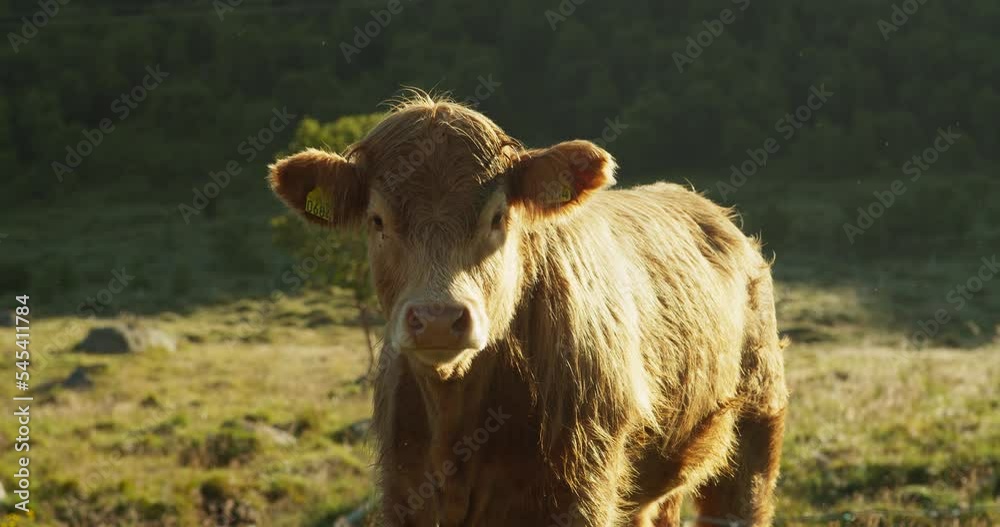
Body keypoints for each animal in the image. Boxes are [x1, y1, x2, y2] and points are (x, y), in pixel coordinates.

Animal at [269, 92, 788, 527]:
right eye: (377, 220)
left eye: (498, 217)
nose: (437, 319)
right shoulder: (403, 491)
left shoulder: (581, 493)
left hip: (755, 433)